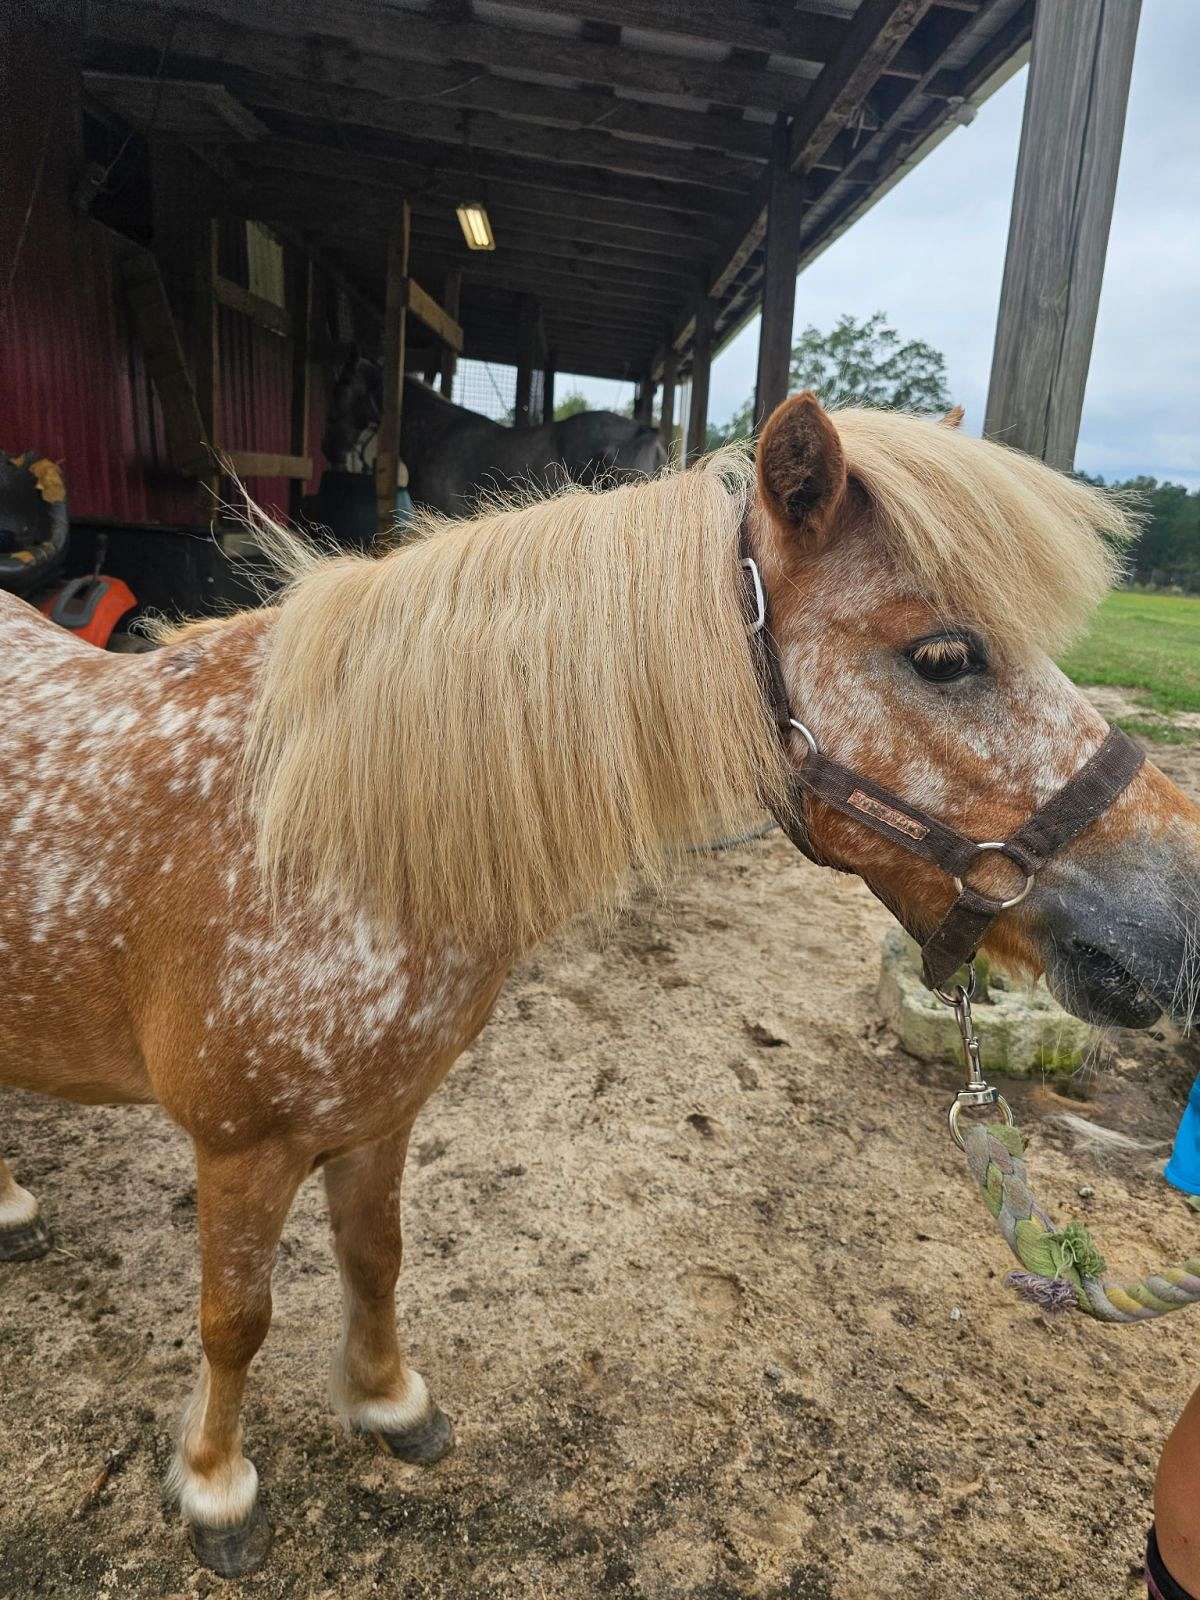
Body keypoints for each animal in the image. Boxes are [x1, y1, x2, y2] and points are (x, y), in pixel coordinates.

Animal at [2, 393, 1196, 1578]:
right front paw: (216, 1487)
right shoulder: (241, 1146)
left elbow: (376, 1260)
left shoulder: (383, 1114)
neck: (314, 829)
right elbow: (233, 1319)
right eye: (945, 655)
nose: (1180, 913)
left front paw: (390, 1403)